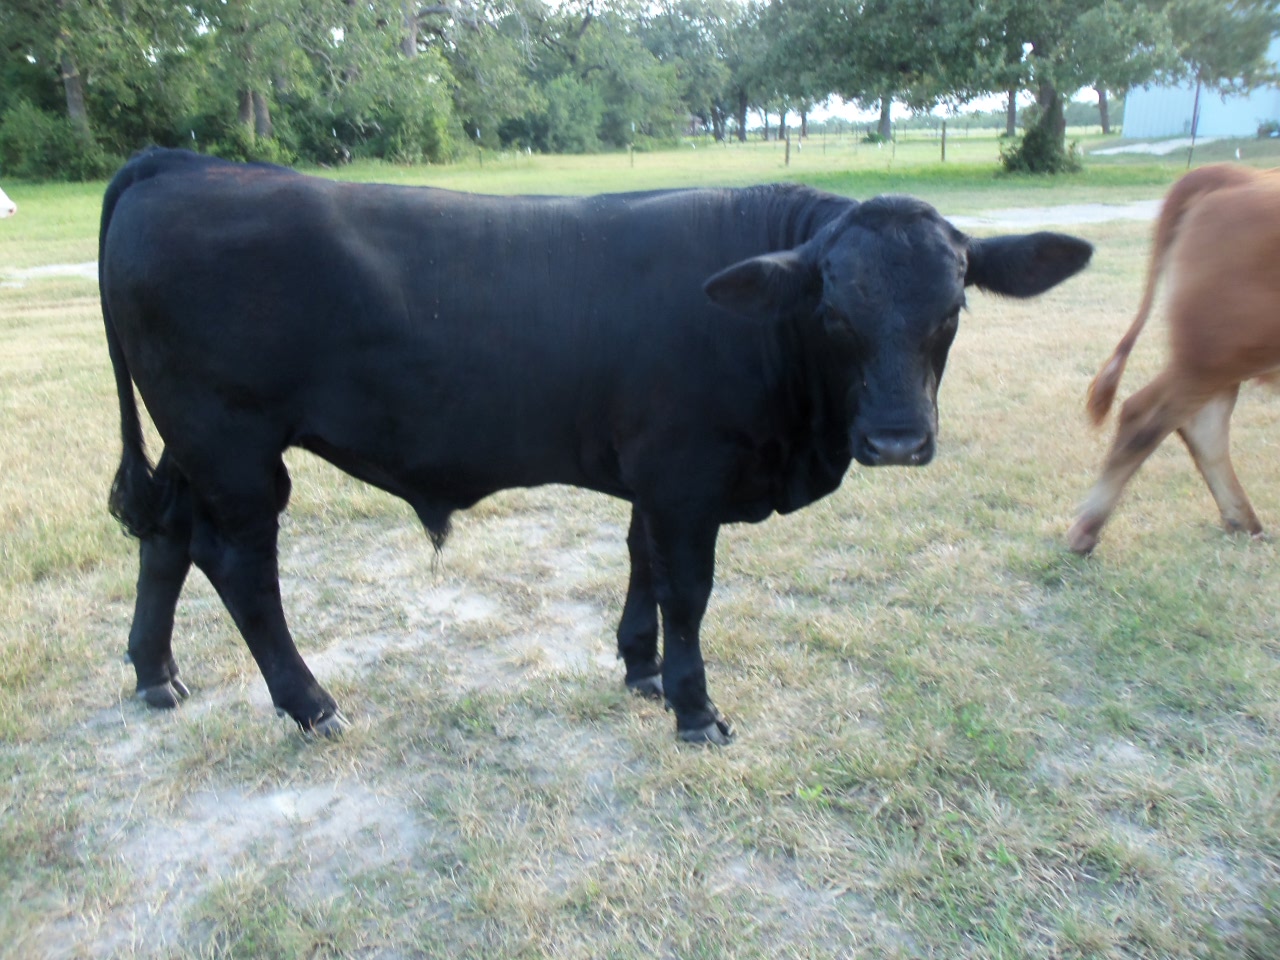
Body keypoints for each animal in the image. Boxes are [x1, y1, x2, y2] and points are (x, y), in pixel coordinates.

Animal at [101, 148, 1092, 744]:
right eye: (834, 311)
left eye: (953, 306)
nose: (896, 439)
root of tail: (180, 164)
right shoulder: (687, 476)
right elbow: (689, 589)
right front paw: (695, 707)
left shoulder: (654, 479)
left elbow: (640, 562)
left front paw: (641, 668)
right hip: (234, 444)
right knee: (240, 566)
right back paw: (310, 704)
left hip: (195, 445)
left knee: (167, 537)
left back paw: (156, 674)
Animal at [1069, 163, 1280, 555]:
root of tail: (1238, 174)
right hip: (1217, 353)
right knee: (1144, 412)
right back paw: (1086, 528)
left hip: (1219, 358)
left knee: (1201, 426)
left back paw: (1243, 521)